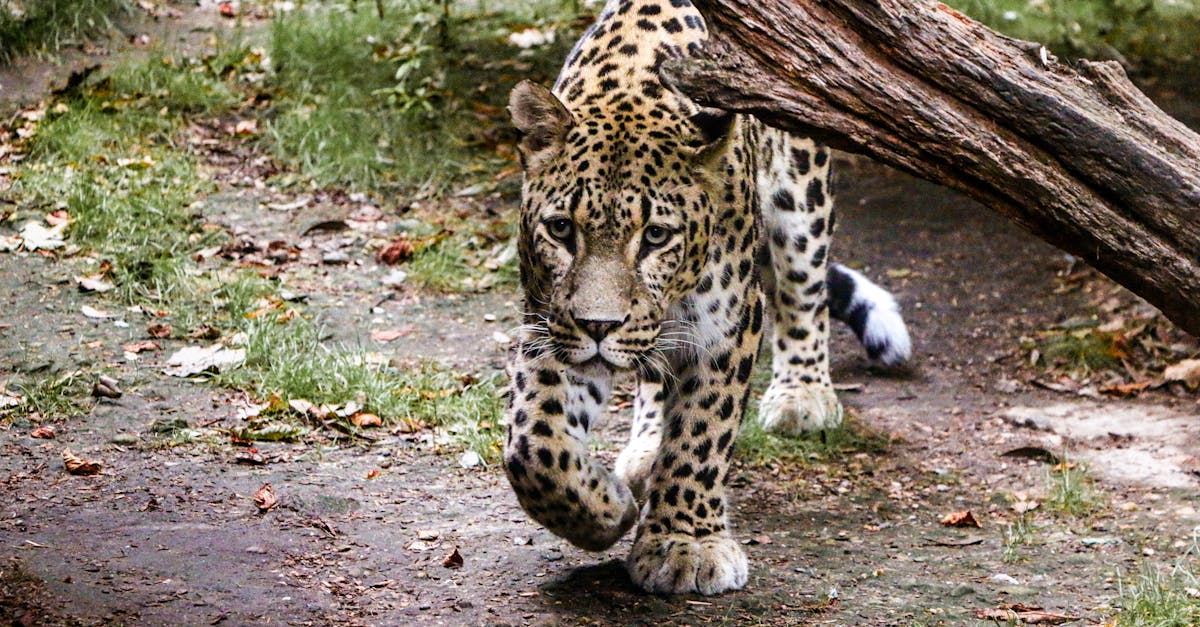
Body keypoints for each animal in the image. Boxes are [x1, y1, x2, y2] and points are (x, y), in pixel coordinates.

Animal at [499, 0, 907, 593]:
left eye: (655, 236)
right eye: (560, 229)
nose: (600, 326)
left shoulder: (729, 323)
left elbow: (703, 429)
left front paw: (684, 543)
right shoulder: (550, 324)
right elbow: (535, 444)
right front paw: (606, 511)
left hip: (801, 194)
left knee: (802, 291)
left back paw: (802, 396)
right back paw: (647, 449)